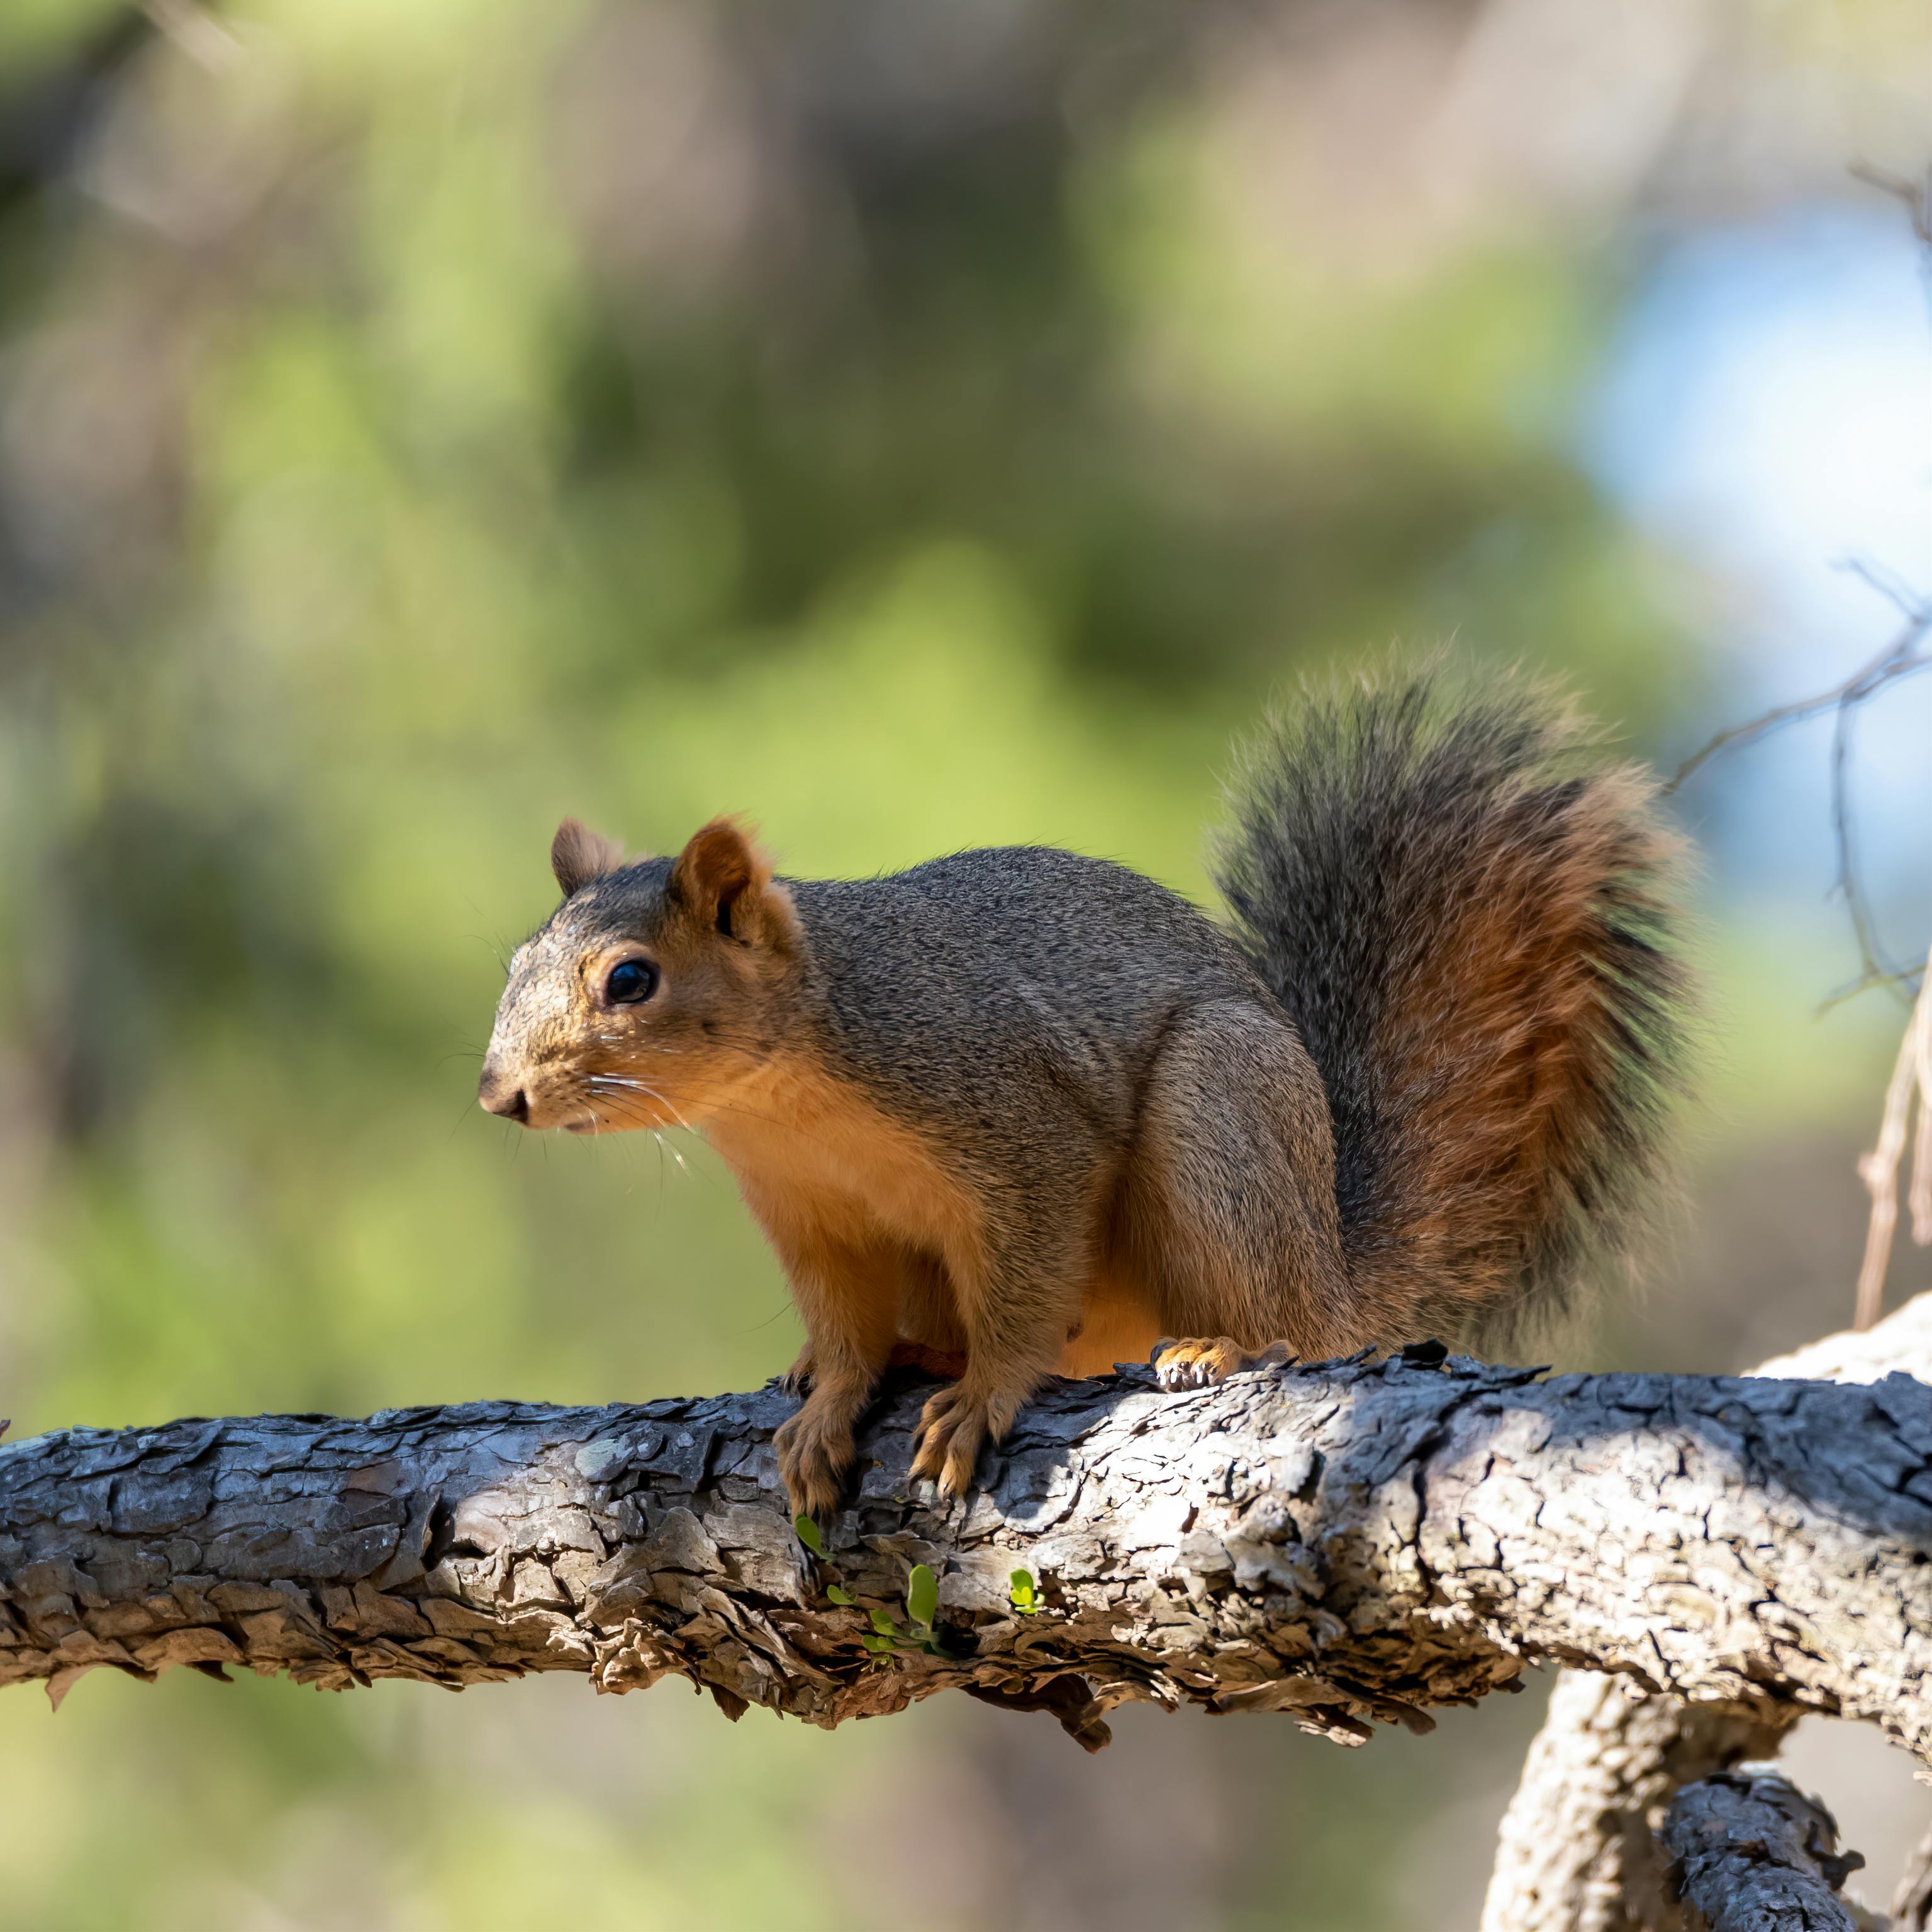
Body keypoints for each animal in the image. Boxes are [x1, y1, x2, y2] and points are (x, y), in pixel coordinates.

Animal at [478, 672, 1687, 1518]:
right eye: (516, 959)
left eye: (629, 979)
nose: (499, 1094)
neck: (786, 1101)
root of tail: (1334, 1258)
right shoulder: (815, 1217)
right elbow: (843, 1323)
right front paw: (828, 1404)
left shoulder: (1018, 1127)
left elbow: (1020, 1293)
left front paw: (979, 1401)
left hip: (1218, 1119)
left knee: (1290, 1325)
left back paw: (1221, 1346)